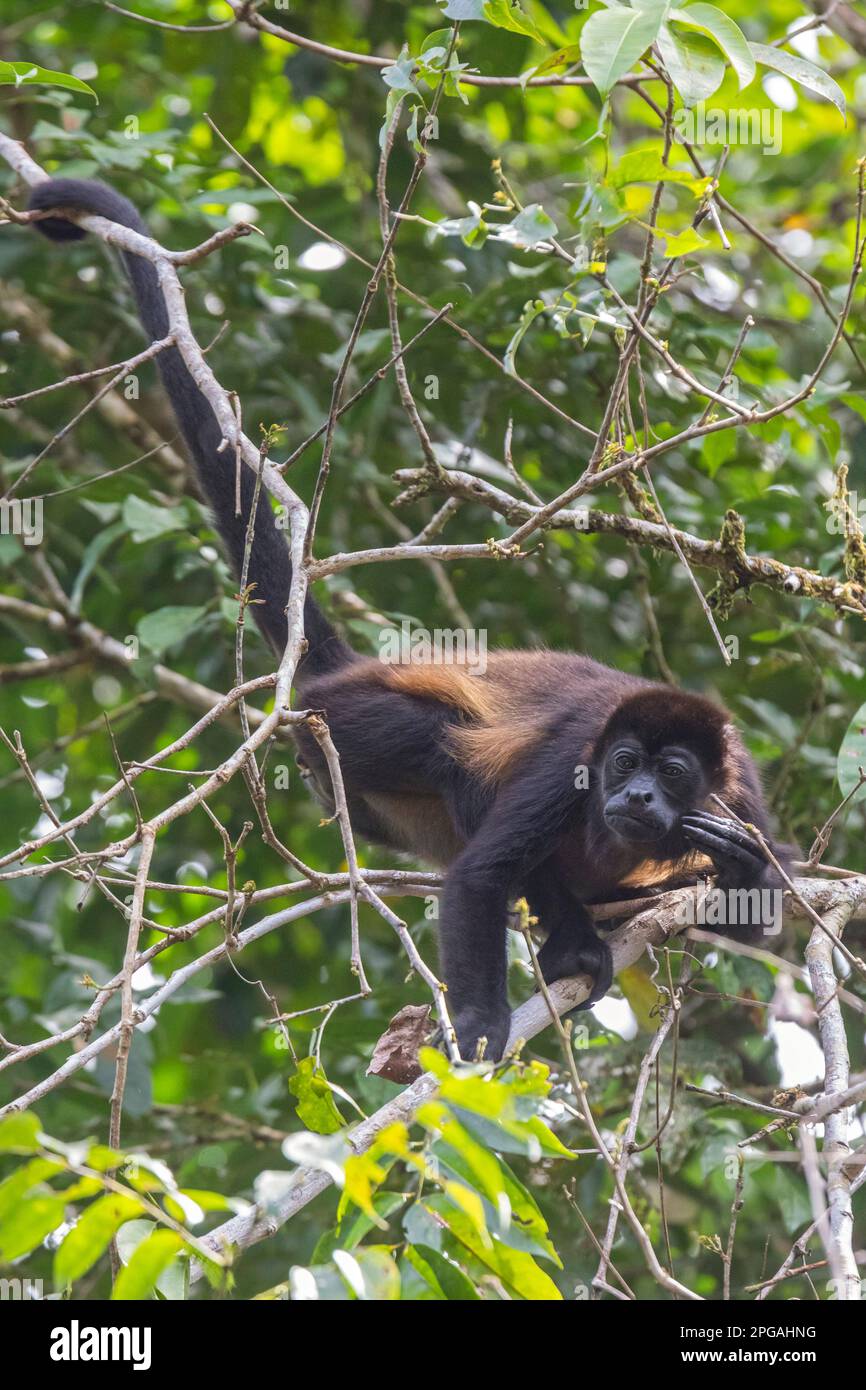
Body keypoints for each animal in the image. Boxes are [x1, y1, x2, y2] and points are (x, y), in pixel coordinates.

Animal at [25, 178, 795, 1062]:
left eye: (670, 774)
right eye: (627, 762)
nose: (634, 795)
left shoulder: (744, 795)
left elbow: (763, 920)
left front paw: (746, 875)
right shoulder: (573, 759)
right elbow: (480, 876)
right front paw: (483, 1029)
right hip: (342, 723)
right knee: (452, 761)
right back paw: (569, 942)